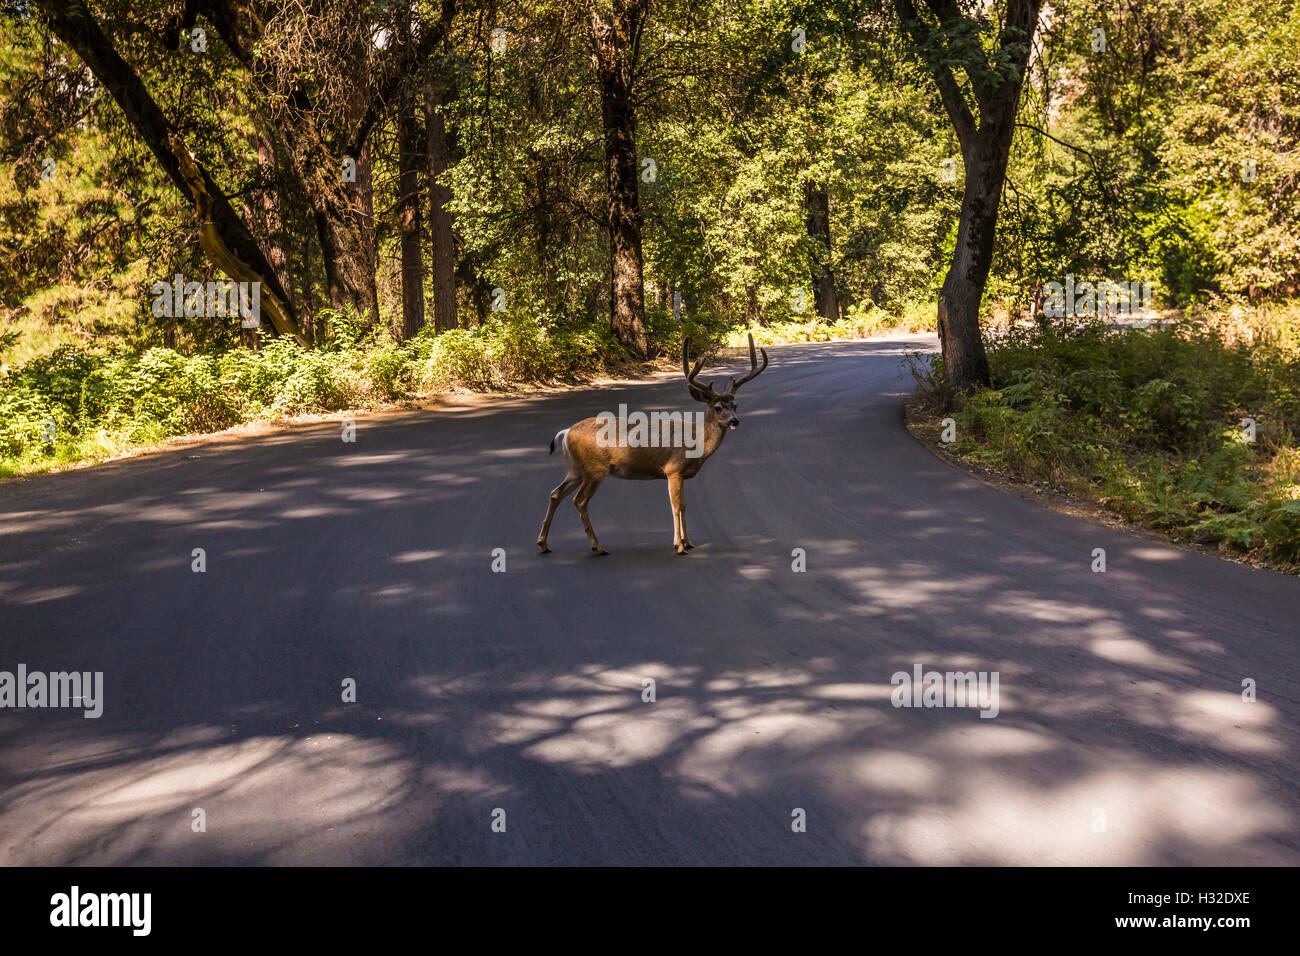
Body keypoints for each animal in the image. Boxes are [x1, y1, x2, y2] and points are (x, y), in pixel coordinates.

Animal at [537, 333, 769, 556]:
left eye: (736, 405)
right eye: (719, 407)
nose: (734, 421)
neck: (697, 442)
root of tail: (566, 432)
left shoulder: (682, 474)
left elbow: (684, 506)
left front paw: (689, 542)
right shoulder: (673, 469)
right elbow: (675, 507)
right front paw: (679, 546)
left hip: (575, 468)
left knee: (555, 494)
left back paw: (544, 544)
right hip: (595, 468)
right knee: (579, 500)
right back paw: (598, 547)